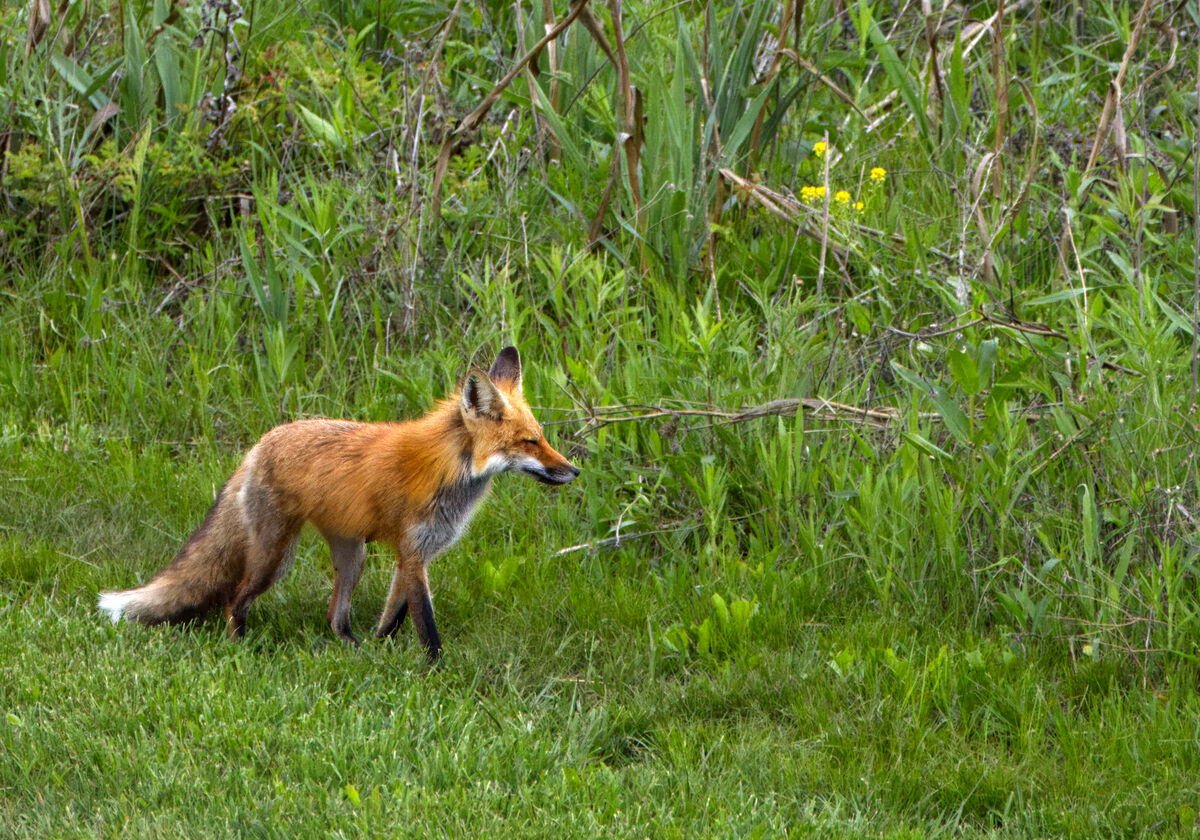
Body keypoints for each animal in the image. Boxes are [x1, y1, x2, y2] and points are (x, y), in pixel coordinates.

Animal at [98, 346, 579, 662]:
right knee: (235, 600)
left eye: (542, 437)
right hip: (276, 558)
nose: (573, 470)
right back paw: (241, 648)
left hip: (352, 556)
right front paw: (438, 675)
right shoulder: (412, 553)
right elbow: (426, 627)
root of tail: (258, 446)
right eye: (529, 442)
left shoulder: (415, 556)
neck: (449, 470)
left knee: (334, 618)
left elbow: (393, 618)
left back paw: (352, 649)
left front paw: (383, 653)